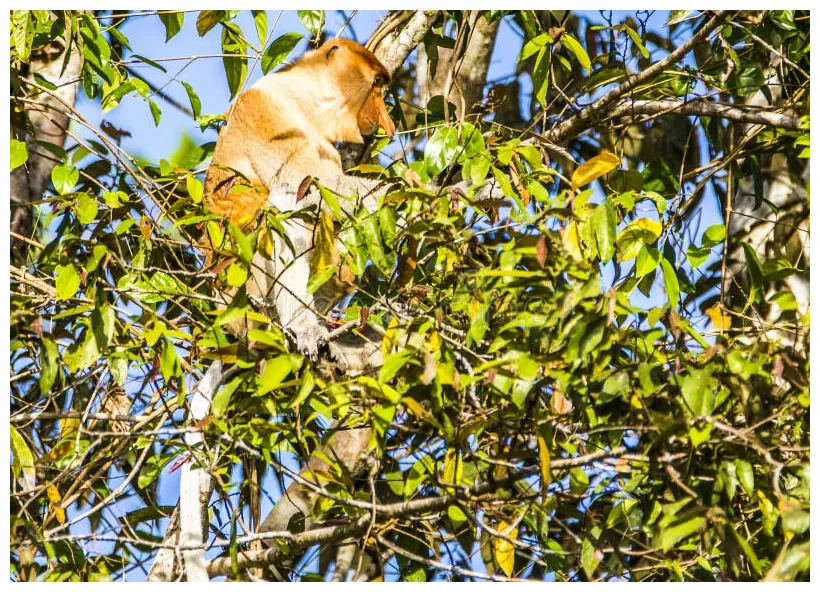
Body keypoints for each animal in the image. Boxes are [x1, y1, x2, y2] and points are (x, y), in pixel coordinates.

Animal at [202, 38, 396, 365]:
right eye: (377, 84)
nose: (387, 120)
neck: (305, 101)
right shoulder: (266, 111)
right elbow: (314, 186)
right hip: (246, 296)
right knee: (285, 201)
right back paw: (303, 327)